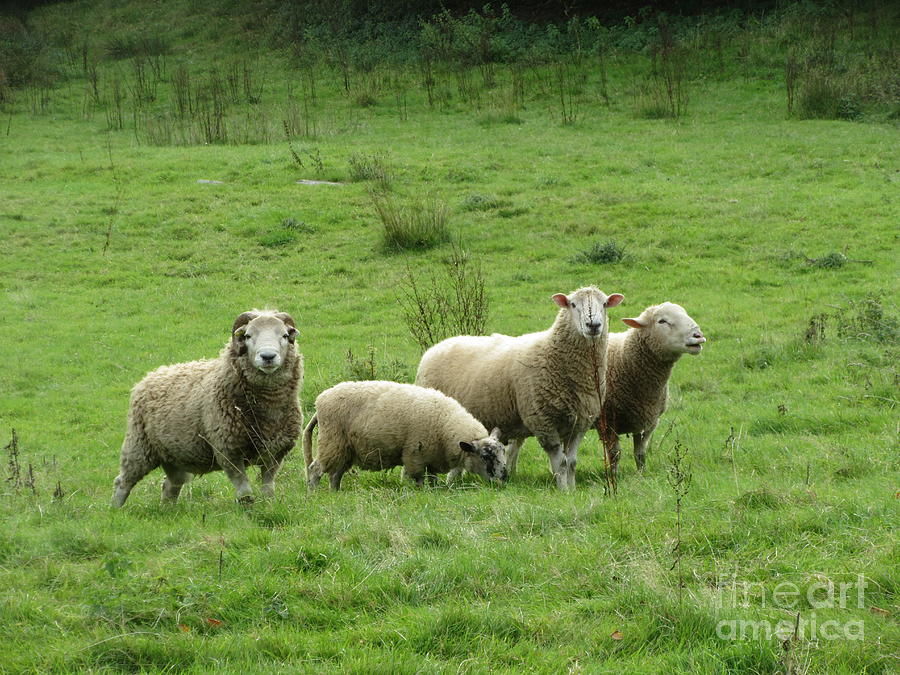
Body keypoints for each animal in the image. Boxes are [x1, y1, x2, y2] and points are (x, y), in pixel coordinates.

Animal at [111, 310, 303, 507]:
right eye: (248, 336)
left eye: (285, 335)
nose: (268, 357)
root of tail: (151, 376)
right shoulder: (228, 452)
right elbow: (245, 493)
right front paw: (248, 509)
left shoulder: (276, 453)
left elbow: (268, 490)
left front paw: (268, 506)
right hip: (139, 445)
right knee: (123, 482)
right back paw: (116, 510)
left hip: (175, 455)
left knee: (171, 484)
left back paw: (167, 510)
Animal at [303, 381, 508, 490]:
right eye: (486, 456)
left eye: (502, 452)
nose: (505, 478)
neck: (446, 426)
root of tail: (319, 402)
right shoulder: (414, 455)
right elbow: (418, 479)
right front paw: (421, 493)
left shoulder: (432, 458)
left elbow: (432, 478)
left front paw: (434, 490)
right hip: (332, 442)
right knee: (315, 469)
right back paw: (313, 493)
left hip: (345, 449)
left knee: (335, 475)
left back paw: (335, 493)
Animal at [415, 286, 624, 490]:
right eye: (572, 304)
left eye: (604, 304)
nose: (593, 325)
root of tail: (438, 346)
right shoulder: (544, 422)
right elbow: (561, 463)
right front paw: (563, 491)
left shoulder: (580, 423)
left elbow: (571, 462)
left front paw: (572, 491)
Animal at [599, 302, 706, 477]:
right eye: (662, 321)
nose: (698, 335)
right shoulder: (607, 421)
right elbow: (615, 454)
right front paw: (613, 476)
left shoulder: (647, 420)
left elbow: (640, 454)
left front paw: (641, 476)